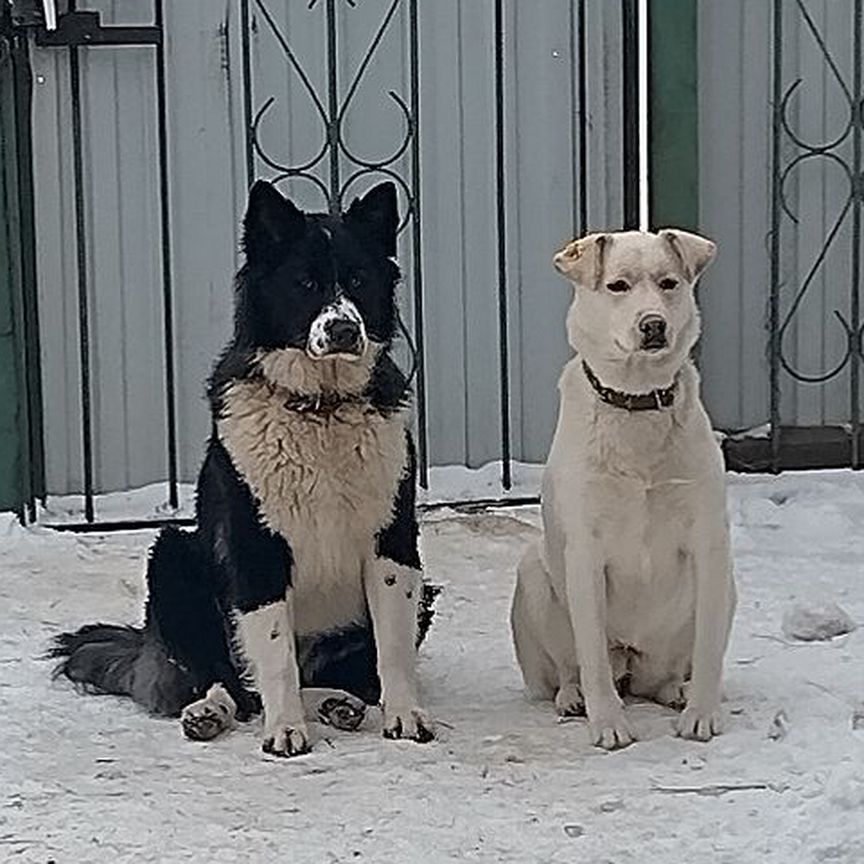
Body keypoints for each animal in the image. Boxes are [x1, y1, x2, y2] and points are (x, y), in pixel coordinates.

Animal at [50, 181, 436, 756]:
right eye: (305, 283)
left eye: (358, 281)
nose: (345, 329)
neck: (319, 408)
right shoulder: (255, 548)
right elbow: (273, 655)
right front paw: (285, 730)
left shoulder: (392, 543)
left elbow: (393, 647)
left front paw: (405, 716)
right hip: (174, 559)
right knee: (233, 682)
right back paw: (210, 712)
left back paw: (339, 703)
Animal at [510, 230, 740, 748]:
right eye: (617, 285)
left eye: (669, 283)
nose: (653, 325)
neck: (637, 402)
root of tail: (634, 665)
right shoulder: (585, 553)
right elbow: (592, 655)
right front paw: (609, 724)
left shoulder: (709, 543)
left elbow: (708, 650)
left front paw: (701, 714)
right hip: (533, 574)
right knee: (572, 667)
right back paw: (573, 698)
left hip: (726, 588)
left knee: (667, 675)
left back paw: (676, 691)